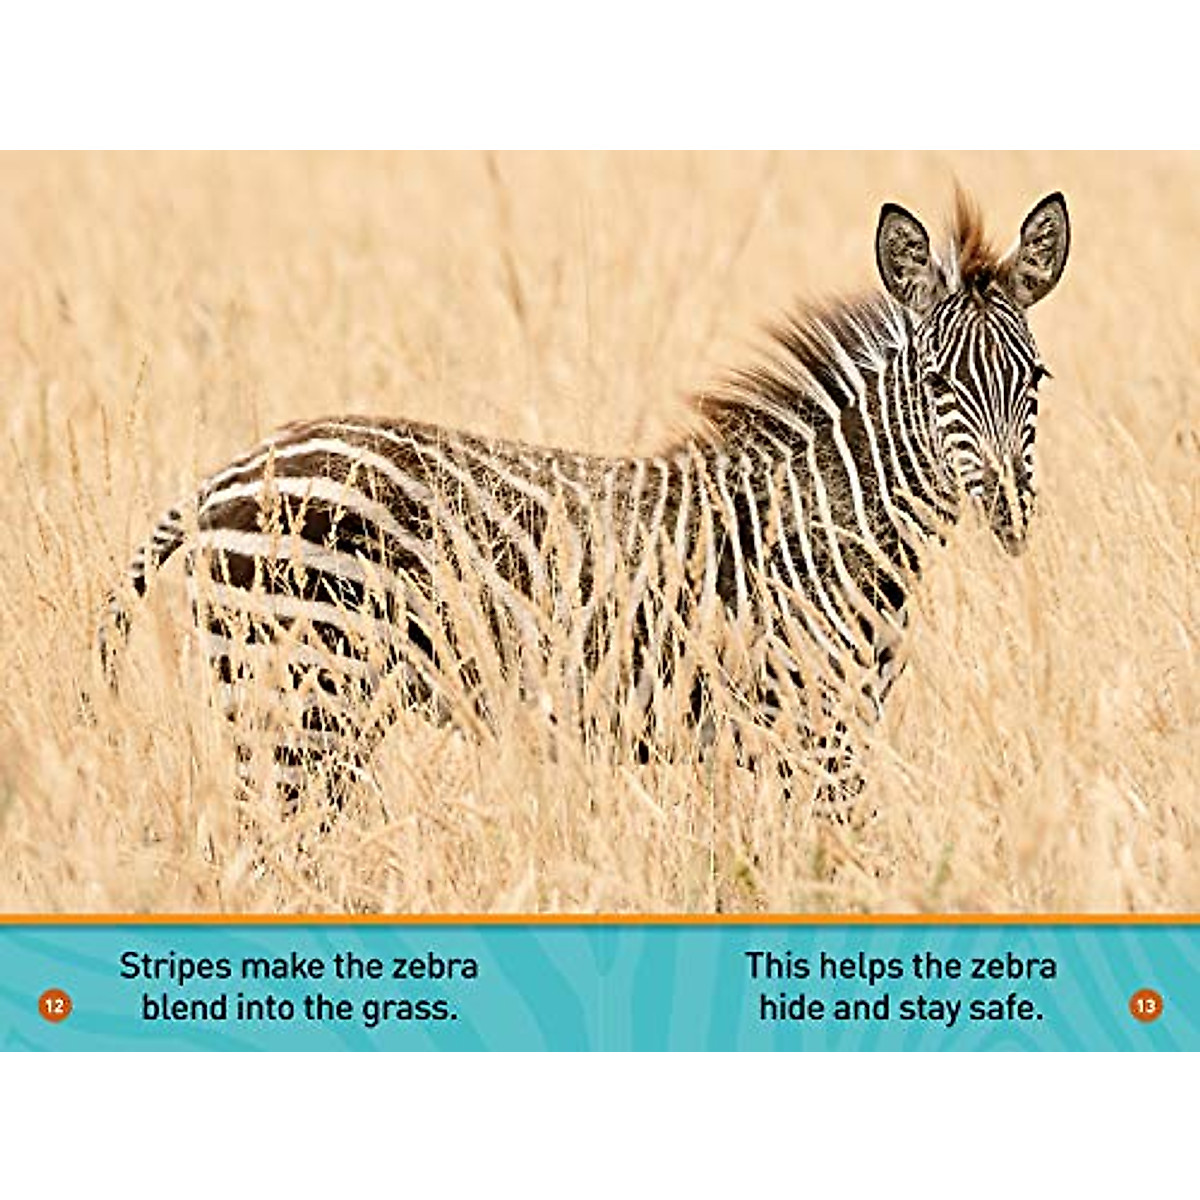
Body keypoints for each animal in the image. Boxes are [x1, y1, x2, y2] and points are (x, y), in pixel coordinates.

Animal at [98, 188, 1070, 809]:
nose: (1010, 518)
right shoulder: (809, 731)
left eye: (1036, 378)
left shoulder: (801, 734)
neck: (833, 529)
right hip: (301, 696)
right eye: (938, 382)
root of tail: (225, 473)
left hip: (299, 708)